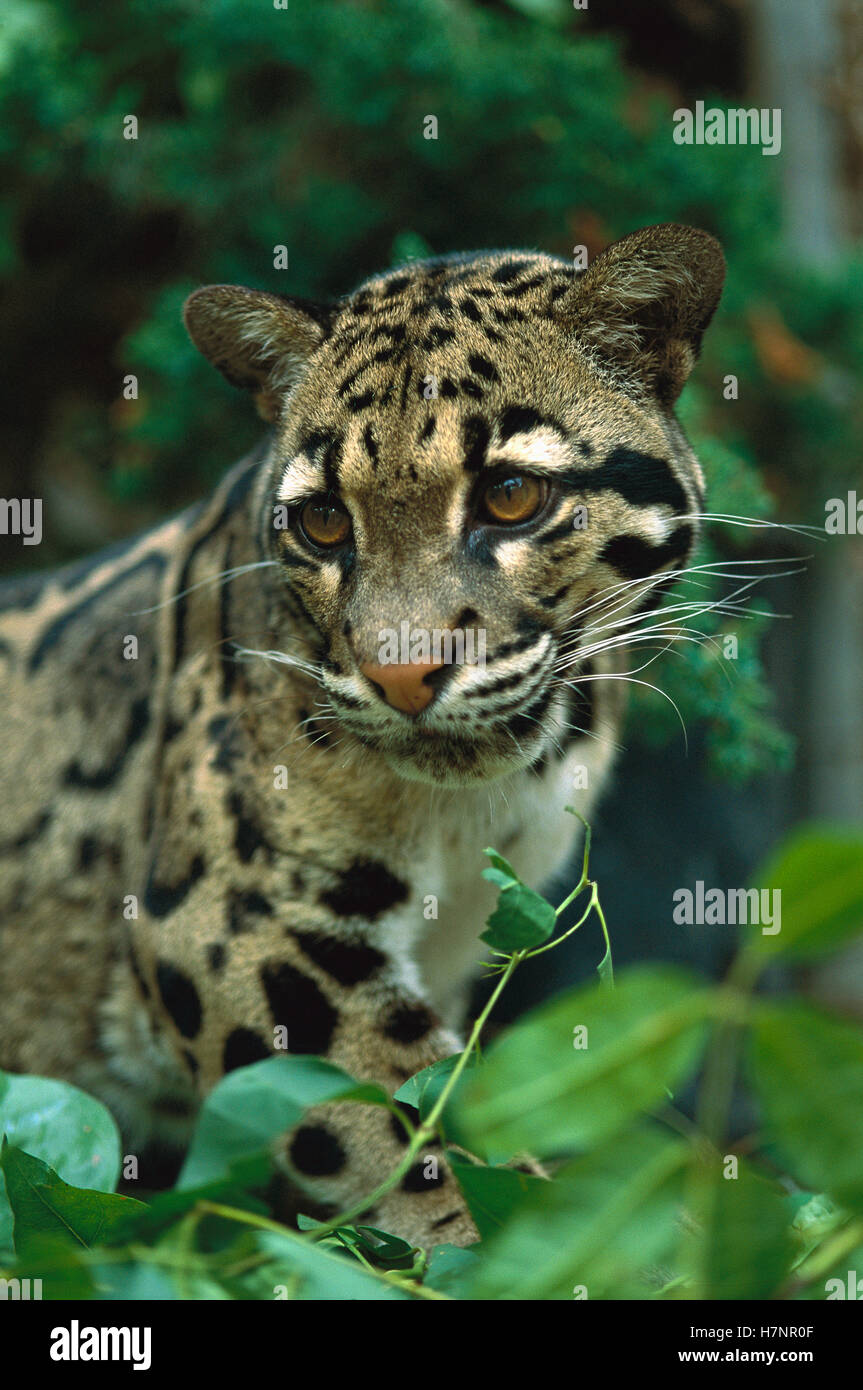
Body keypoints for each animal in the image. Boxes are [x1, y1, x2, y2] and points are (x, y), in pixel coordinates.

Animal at [0, 223, 725, 1248]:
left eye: (510, 495)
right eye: (322, 520)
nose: (401, 672)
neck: (474, 810)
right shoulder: (234, 917)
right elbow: (391, 1127)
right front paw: (486, 1242)